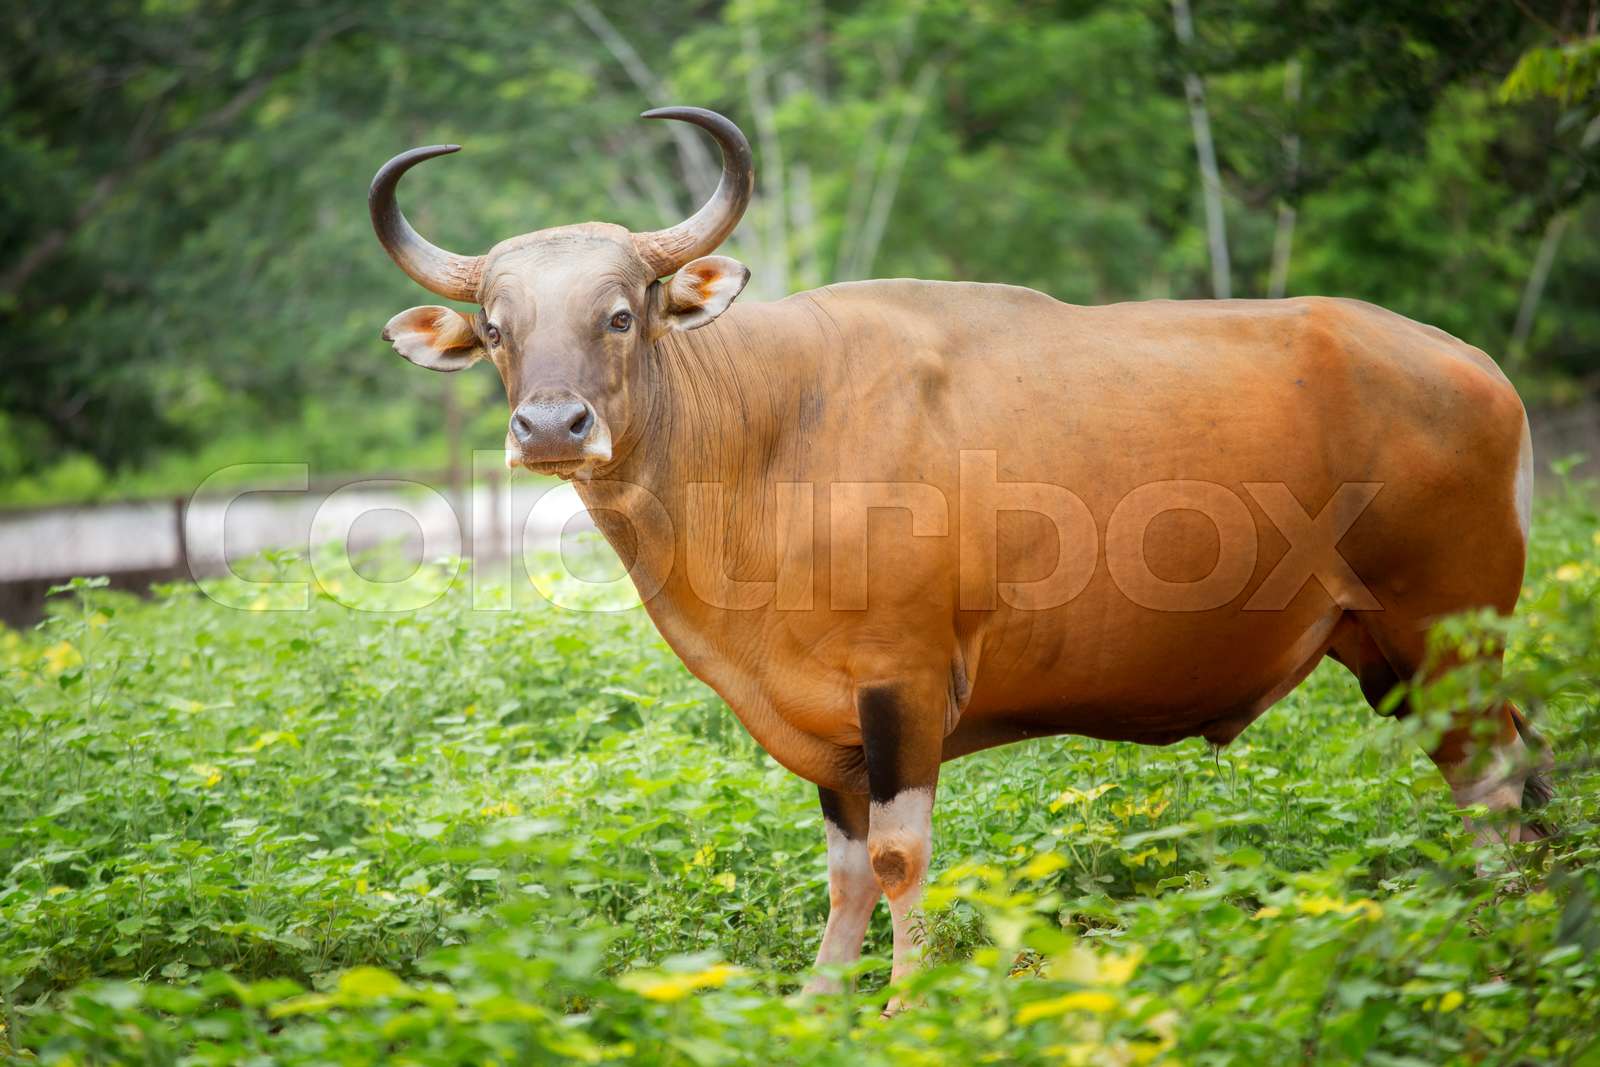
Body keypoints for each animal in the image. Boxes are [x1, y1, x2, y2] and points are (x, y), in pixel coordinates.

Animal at [370, 106, 1551, 1002]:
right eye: (496, 326)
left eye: (621, 313)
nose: (550, 425)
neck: (767, 438)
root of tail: (1480, 370)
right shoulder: (828, 728)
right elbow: (846, 874)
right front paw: (819, 1003)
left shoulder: (901, 686)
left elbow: (899, 859)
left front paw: (902, 1003)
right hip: (1393, 653)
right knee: (1521, 767)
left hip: (1441, 634)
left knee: (1491, 780)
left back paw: (1499, 942)